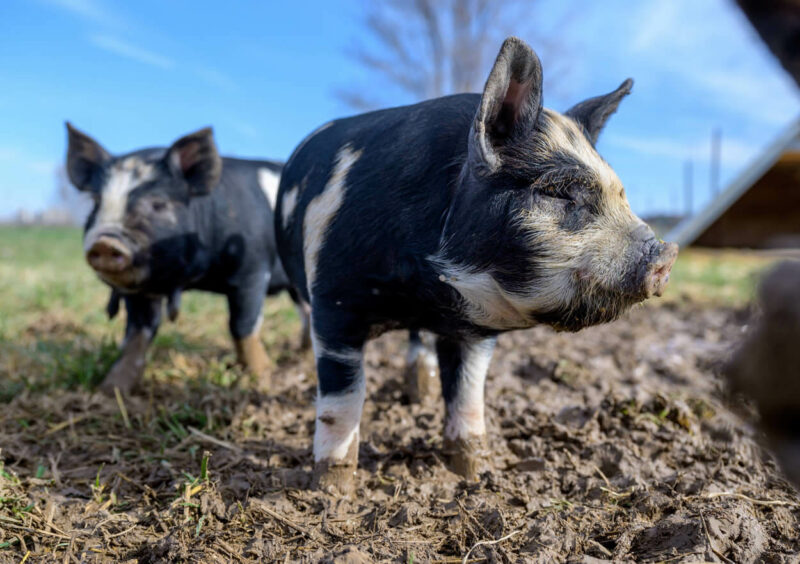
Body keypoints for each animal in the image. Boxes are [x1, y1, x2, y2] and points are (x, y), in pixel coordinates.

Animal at [66, 124, 310, 395]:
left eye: (158, 204)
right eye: (96, 203)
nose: (105, 242)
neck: (189, 279)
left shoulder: (252, 271)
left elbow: (242, 326)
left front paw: (263, 380)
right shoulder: (140, 291)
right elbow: (136, 335)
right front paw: (109, 389)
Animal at [275, 37, 678, 494]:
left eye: (621, 193)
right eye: (559, 192)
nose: (665, 255)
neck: (428, 290)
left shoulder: (474, 331)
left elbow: (468, 394)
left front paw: (472, 474)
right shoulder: (334, 302)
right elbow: (343, 398)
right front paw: (332, 491)